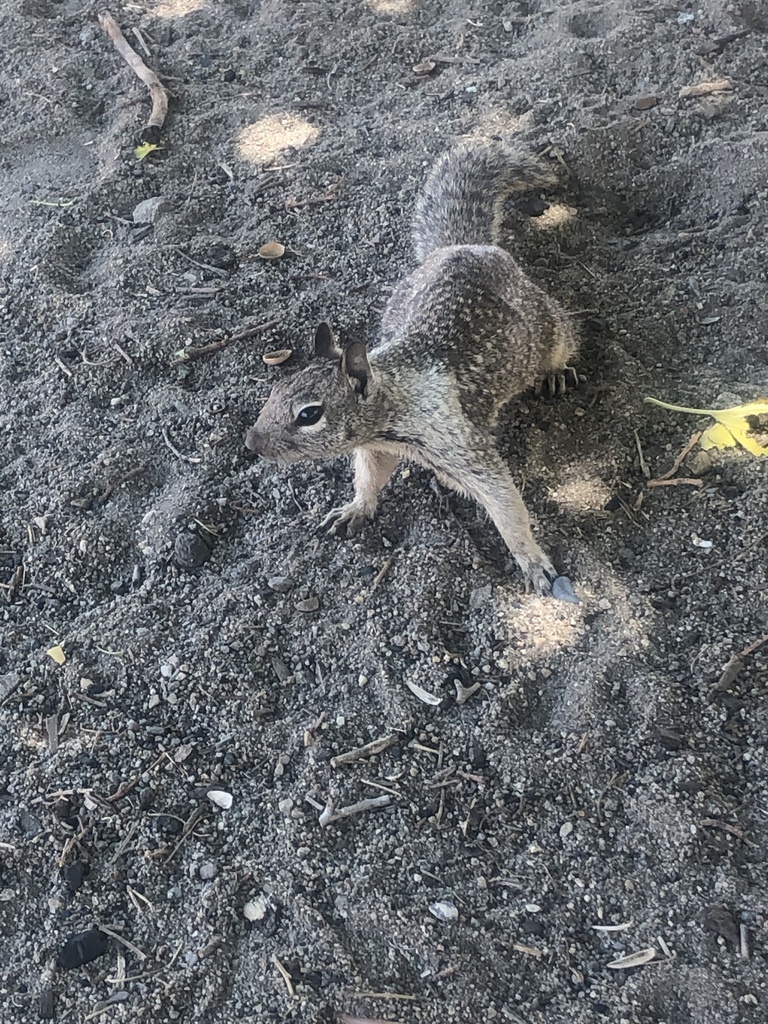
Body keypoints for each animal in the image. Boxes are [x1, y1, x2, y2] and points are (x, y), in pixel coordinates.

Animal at [245, 141, 579, 596]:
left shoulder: (462, 444)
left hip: (549, 325)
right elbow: (370, 478)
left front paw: (532, 561)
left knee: (563, 341)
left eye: (309, 414)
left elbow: (505, 503)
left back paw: (556, 372)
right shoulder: (378, 448)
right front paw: (356, 508)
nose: (252, 443)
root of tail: (465, 247)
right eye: (274, 392)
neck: (395, 398)